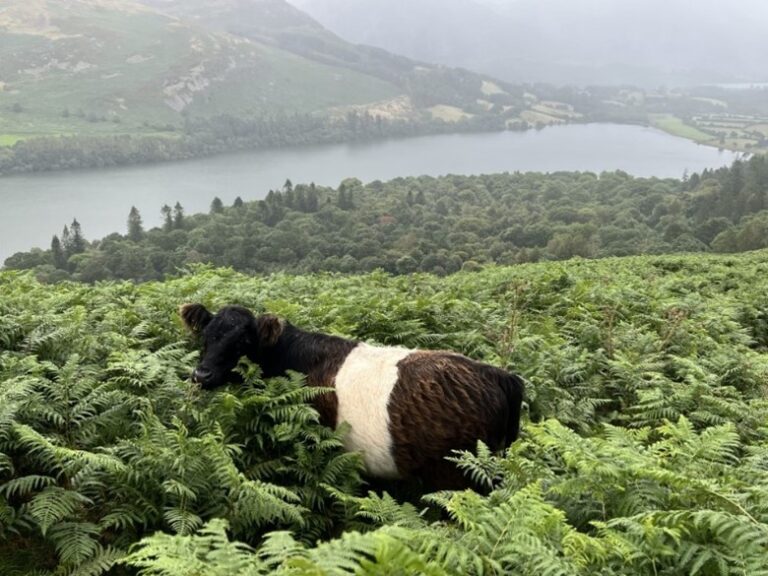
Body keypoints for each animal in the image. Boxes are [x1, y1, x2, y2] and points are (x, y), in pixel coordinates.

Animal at [180, 303, 524, 489]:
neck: (295, 359)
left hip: (458, 476)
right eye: (206, 336)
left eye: (243, 342)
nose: (201, 375)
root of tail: (498, 374)